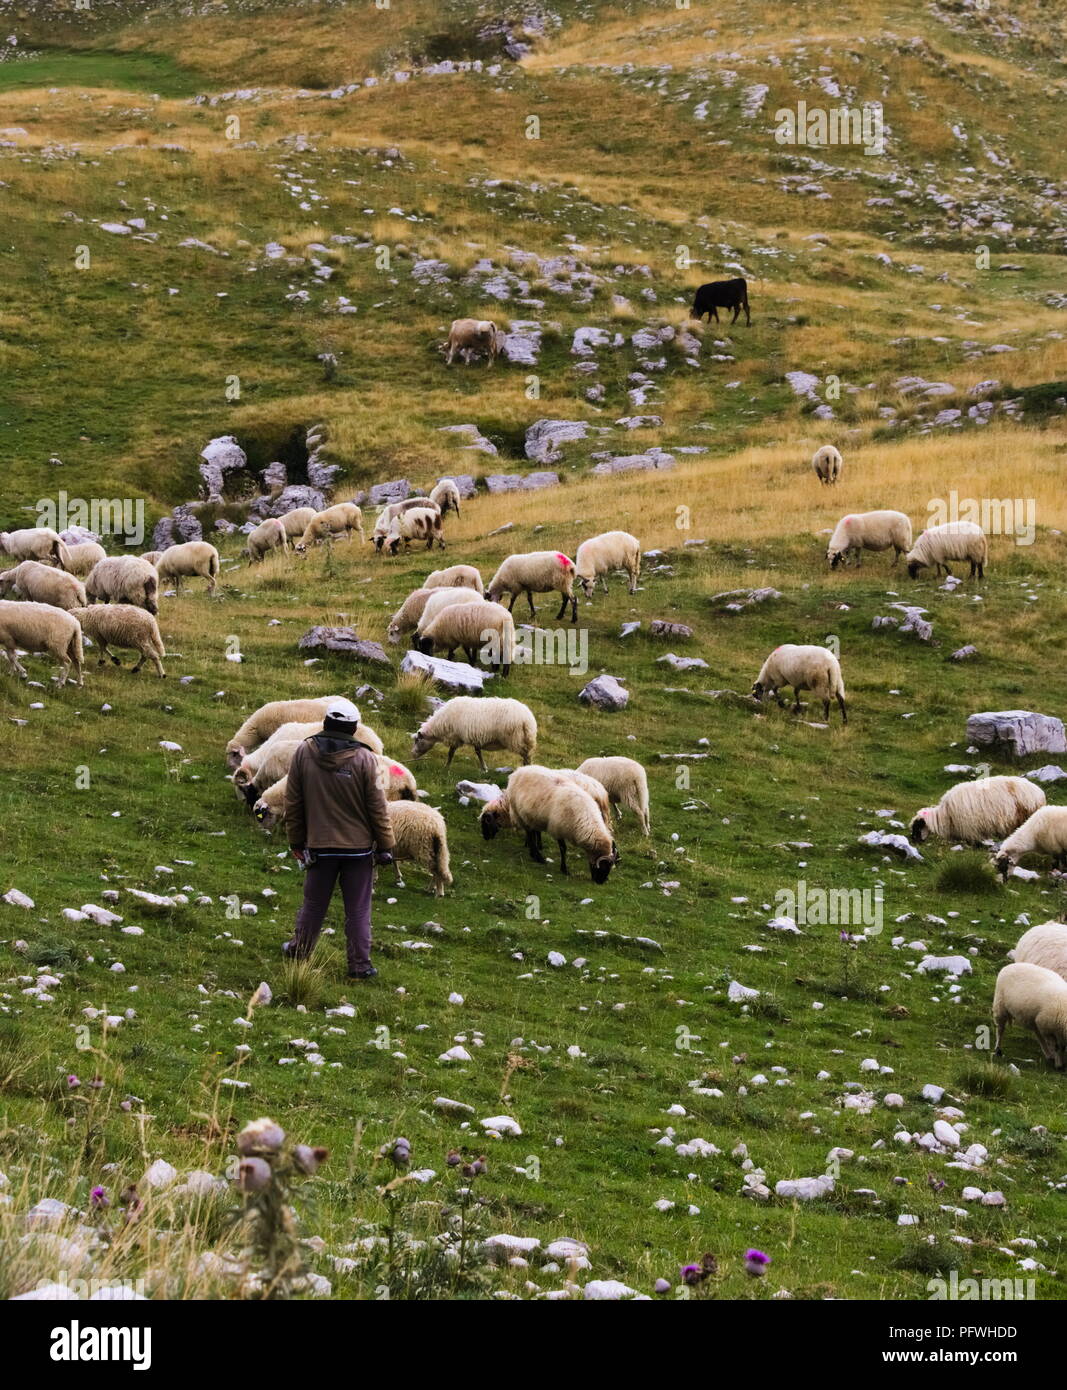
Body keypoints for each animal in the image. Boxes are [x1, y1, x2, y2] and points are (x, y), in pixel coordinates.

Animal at [480, 766, 618, 882]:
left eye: (485, 822)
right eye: (603, 867)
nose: (600, 882)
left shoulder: (546, 823)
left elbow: (546, 839)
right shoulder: (555, 827)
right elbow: (562, 848)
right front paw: (564, 868)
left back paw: (536, 855)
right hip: (524, 813)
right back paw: (537, 855)